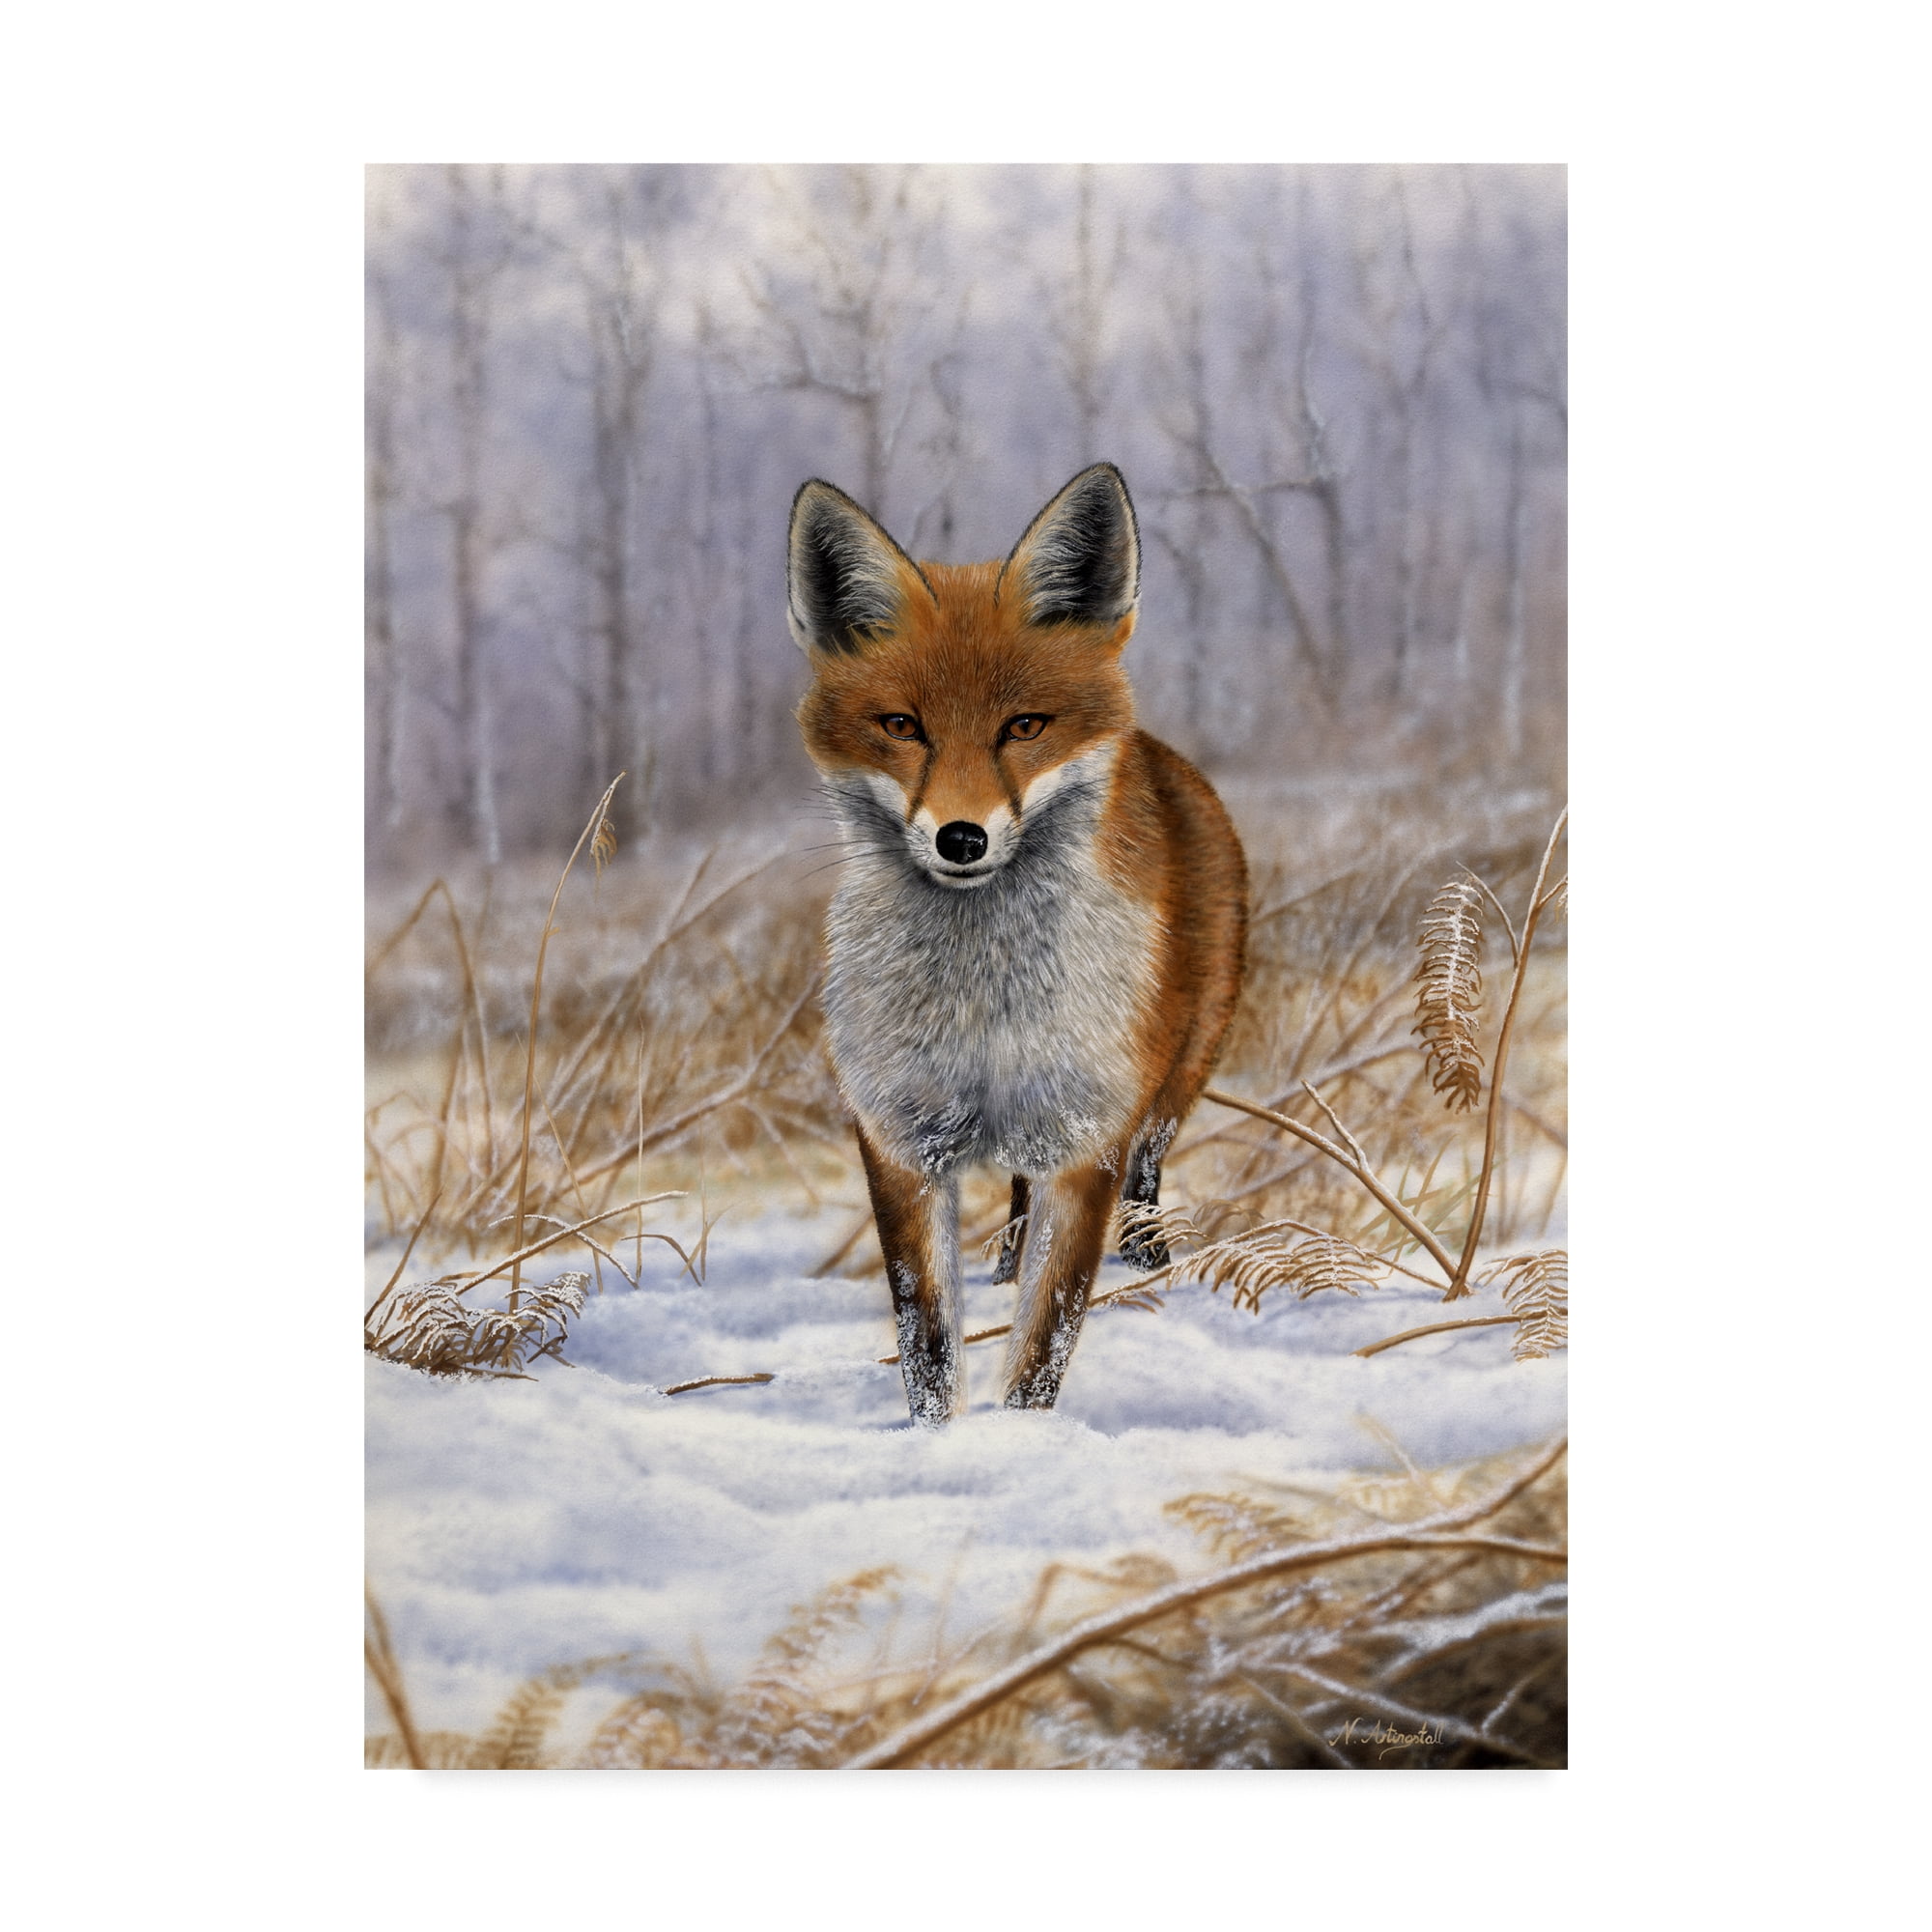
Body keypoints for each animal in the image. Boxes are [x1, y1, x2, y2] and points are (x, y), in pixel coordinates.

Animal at [789, 462, 1247, 1427]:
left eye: (1024, 727)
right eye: (902, 725)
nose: (961, 838)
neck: (983, 1008)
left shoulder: (1089, 1138)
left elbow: (1046, 1341)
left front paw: (1020, 1437)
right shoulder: (900, 1139)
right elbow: (927, 1340)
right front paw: (937, 1440)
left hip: (1174, 1083)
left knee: (1146, 1186)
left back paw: (1153, 1270)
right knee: (1013, 1210)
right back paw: (1002, 1272)